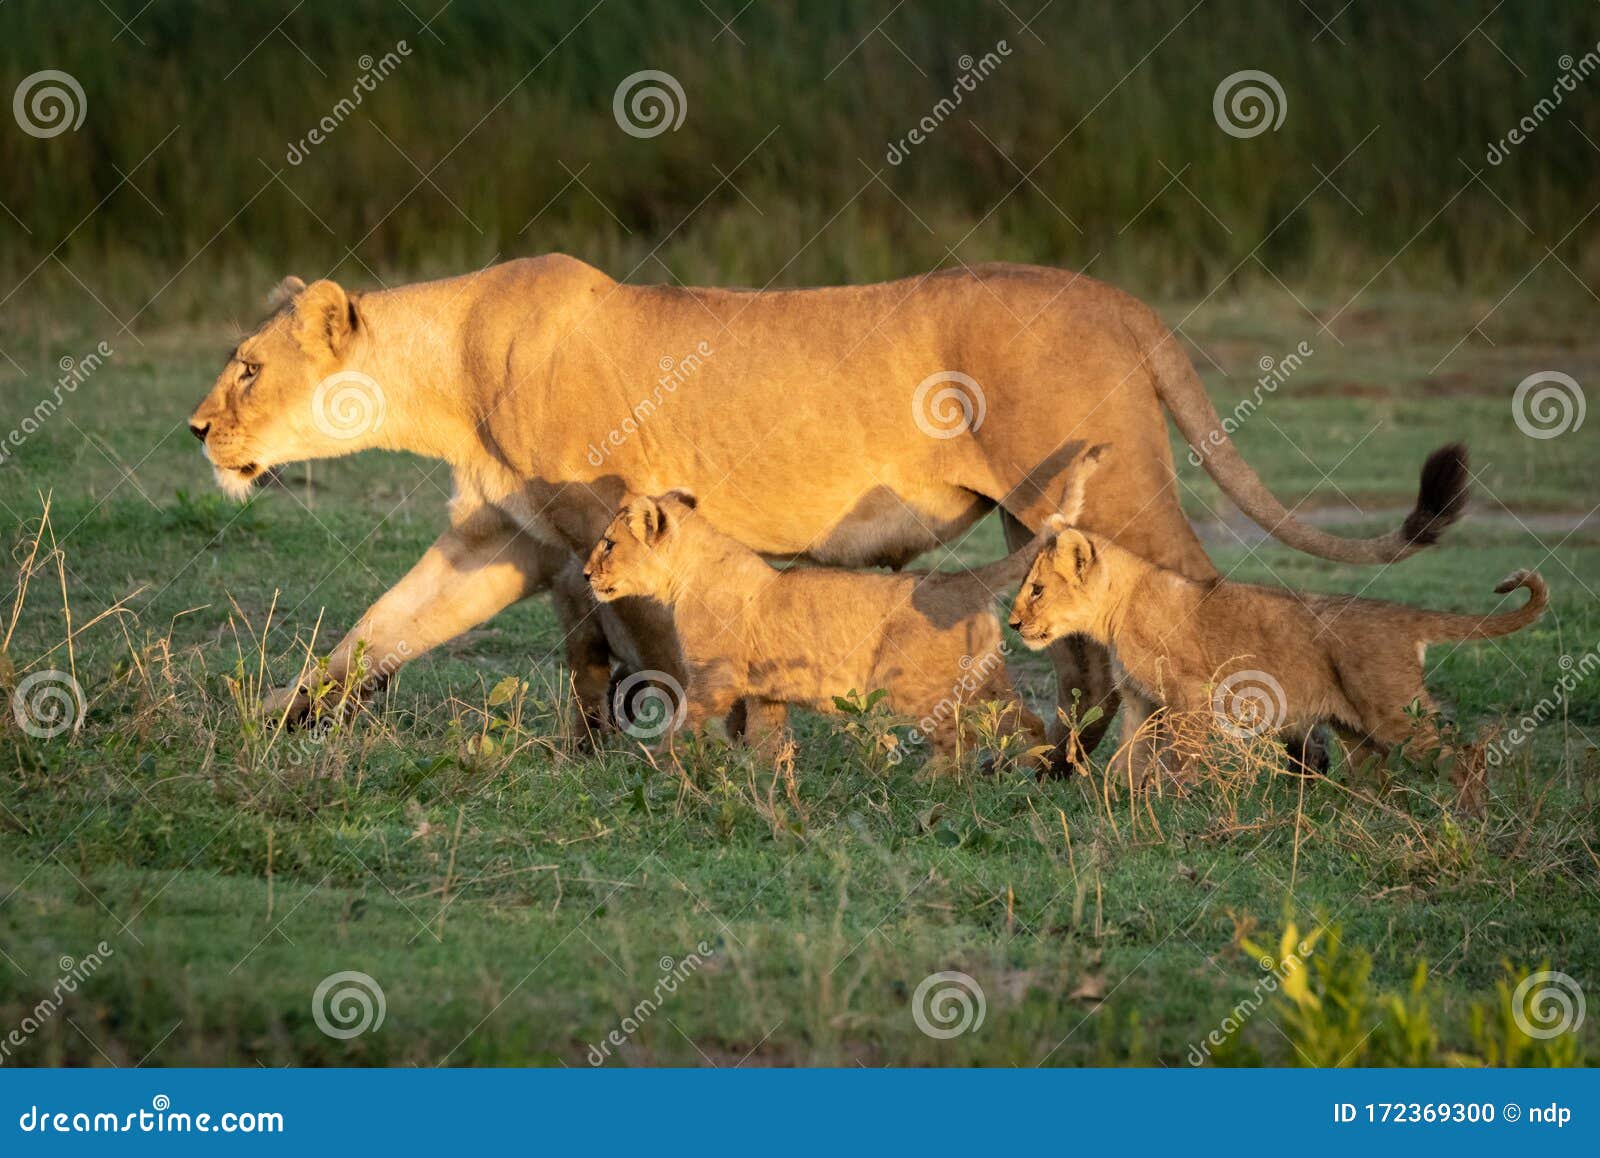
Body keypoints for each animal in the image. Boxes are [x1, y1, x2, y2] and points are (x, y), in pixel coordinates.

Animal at [188, 258, 1466, 763]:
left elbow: (648, 657)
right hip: (1037, 518)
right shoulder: (503, 540)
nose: (198, 430)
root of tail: (1109, 294)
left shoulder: (606, 527)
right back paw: (1058, 764)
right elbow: (378, 634)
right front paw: (269, 728)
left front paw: (679, 762)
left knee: (1187, 598)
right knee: (1083, 645)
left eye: (246, 368)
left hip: (1104, 492)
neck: (447, 378)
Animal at [1008, 482, 1545, 780]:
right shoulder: (1142, 700)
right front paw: (1116, 804)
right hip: (1358, 729)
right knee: (1375, 769)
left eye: (1036, 589)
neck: (1118, 608)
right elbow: (1126, 758)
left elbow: (1181, 757)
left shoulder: (1190, 694)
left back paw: (1468, 814)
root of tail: (1399, 613)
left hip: (1394, 711)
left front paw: (1176, 802)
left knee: (1465, 753)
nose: (1013, 623)